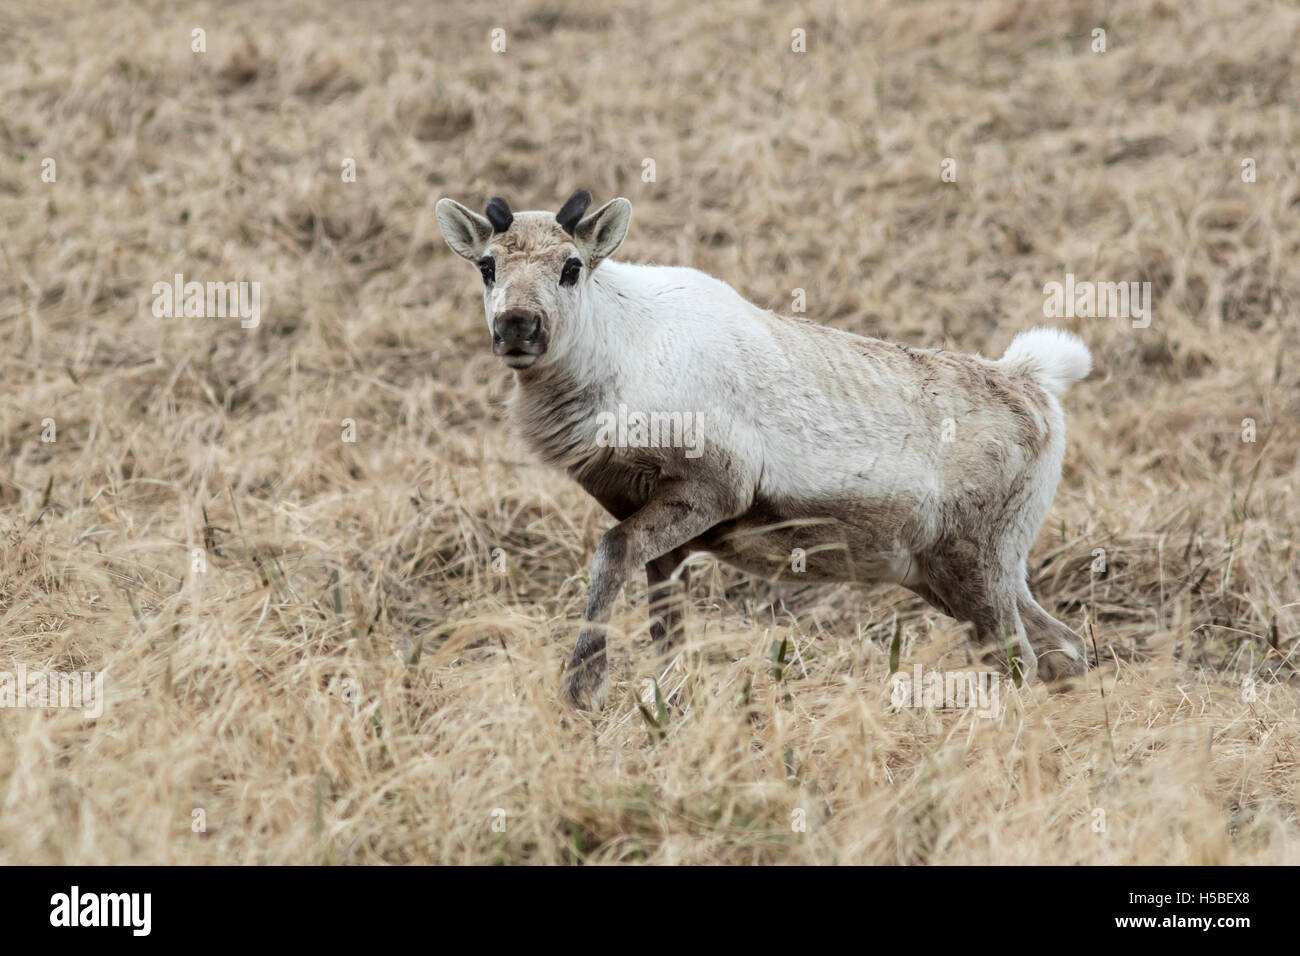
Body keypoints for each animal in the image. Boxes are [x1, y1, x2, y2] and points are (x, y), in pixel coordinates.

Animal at [435, 190, 1092, 710]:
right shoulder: (666, 534)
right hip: (949, 574)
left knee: (1024, 659)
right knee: (1065, 647)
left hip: (978, 565)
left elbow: (610, 553)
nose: (518, 326)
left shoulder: (716, 488)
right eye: (488, 265)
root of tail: (1037, 383)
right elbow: (668, 630)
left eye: (572, 266)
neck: (617, 363)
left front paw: (582, 689)